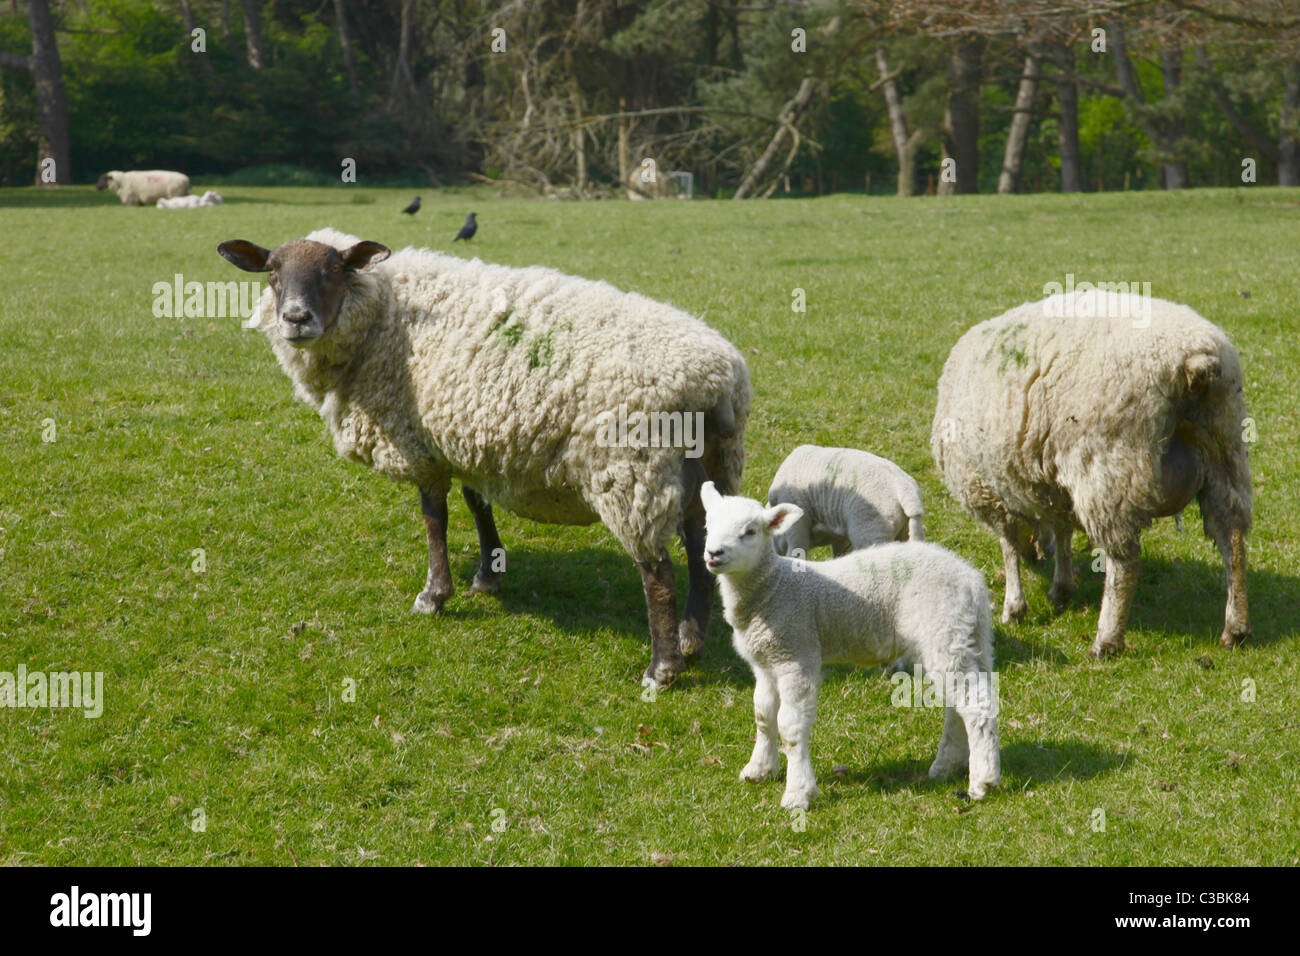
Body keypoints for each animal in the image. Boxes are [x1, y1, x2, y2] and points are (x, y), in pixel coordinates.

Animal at [217, 227, 750, 688]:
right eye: (272, 271)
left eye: (334, 269)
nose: (295, 319)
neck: (383, 313)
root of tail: (715, 377)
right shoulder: (467, 439)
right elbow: (478, 505)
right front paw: (487, 576)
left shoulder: (418, 445)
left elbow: (434, 518)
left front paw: (434, 596)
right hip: (709, 463)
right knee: (701, 544)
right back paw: (691, 639)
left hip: (631, 471)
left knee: (657, 570)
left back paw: (662, 668)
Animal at [700, 481, 1001, 809]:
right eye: (708, 525)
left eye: (750, 531)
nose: (714, 553)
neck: (773, 589)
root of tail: (972, 581)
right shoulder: (766, 662)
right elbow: (763, 715)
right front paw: (759, 769)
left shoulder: (796, 654)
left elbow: (791, 726)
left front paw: (798, 792)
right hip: (966, 638)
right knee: (959, 701)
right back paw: (948, 764)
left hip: (944, 630)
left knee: (975, 705)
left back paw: (983, 781)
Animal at [767, 444, 925, 560]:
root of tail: (906, 491)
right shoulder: (841, 537)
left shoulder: (797, 524)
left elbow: (796, 552)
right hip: (908, 530)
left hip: (872, 531)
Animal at [932, 291, 1252, 658]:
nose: (1036, 558)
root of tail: (1195, 361)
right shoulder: (1053, 485)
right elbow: (1062, 530)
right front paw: (1061, 586)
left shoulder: (986, 489)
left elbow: (1009, 544)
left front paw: (1014, 607)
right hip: (1226, 448)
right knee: (1232, 535)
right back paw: (1235, 628)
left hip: (1109, 469)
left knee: (1124, 561)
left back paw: (1107, 639)